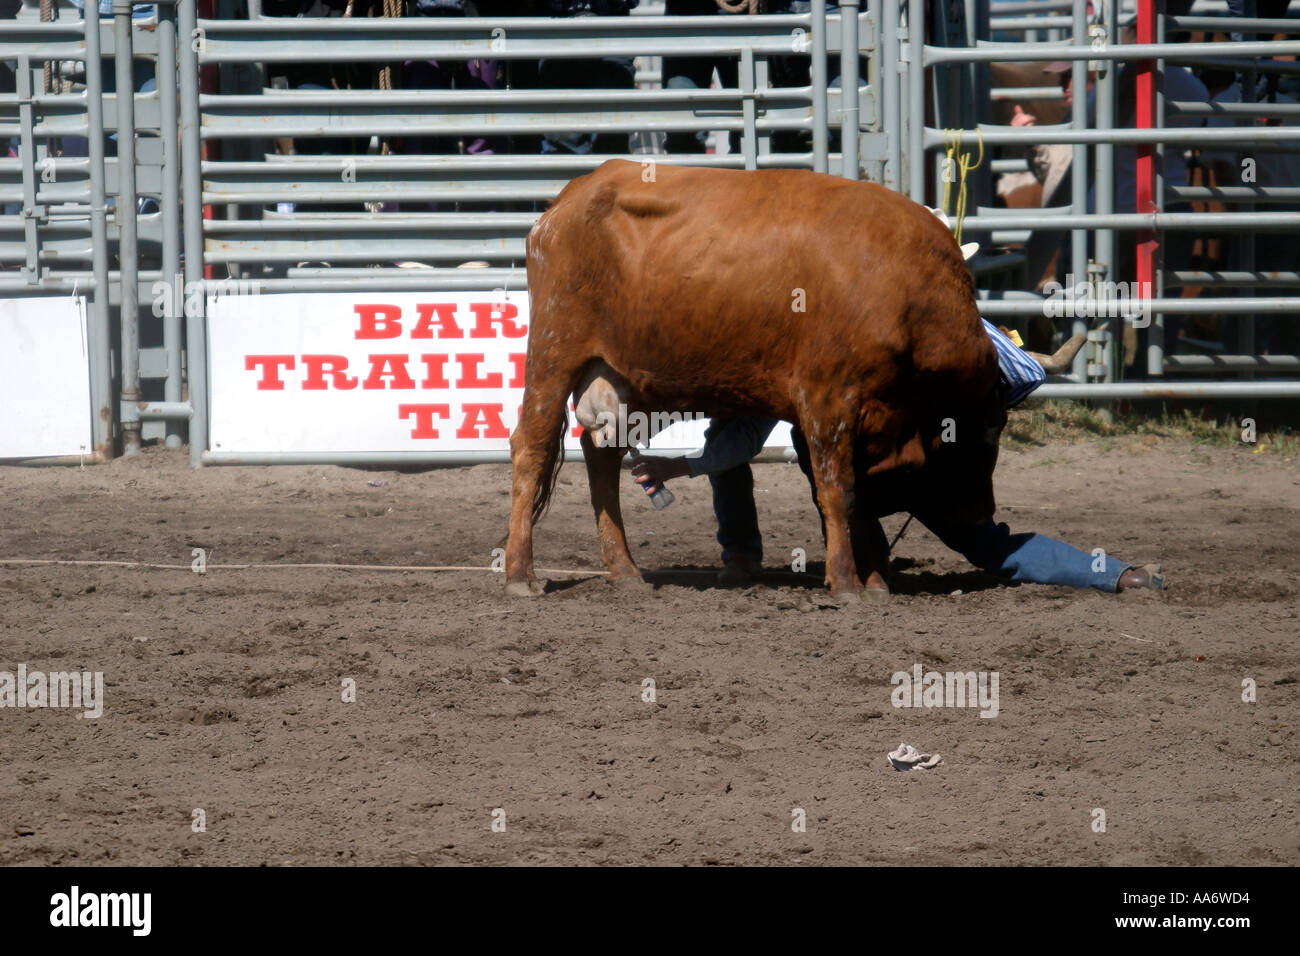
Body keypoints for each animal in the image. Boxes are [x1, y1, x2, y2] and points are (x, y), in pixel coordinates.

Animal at [505, 159, 1013, 599]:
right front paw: (847, 582)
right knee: (531, 448)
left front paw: (873, 582)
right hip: (554, 352)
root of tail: (573, 195)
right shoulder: (826, 399)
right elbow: (838, 491)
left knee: (602, 456)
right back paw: (519, 574)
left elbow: (859, 498)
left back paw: (625, 569)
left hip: (629, 381)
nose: (985, 515)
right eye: (986, 431)